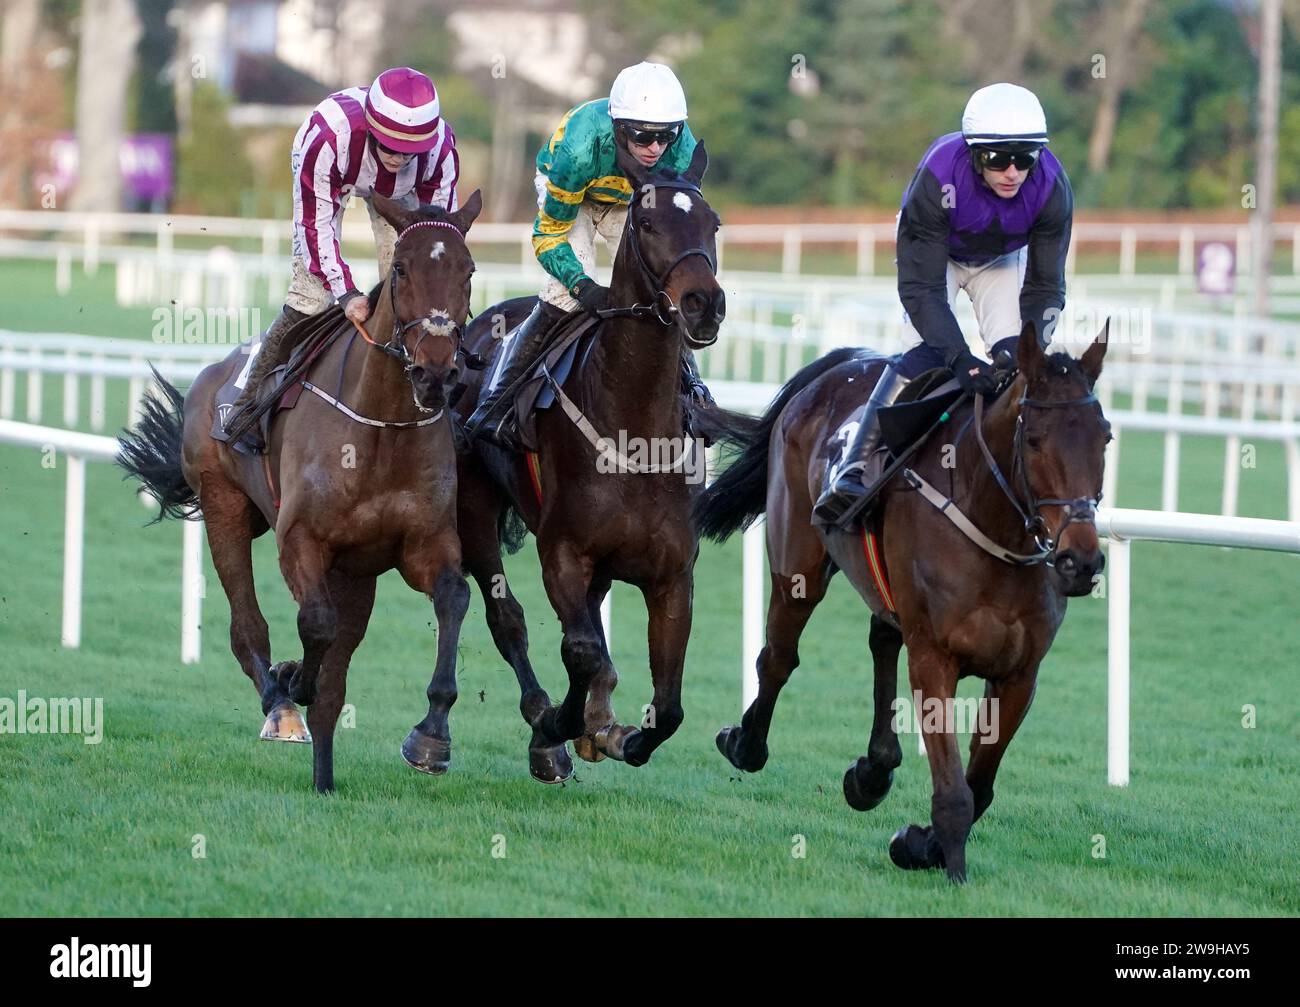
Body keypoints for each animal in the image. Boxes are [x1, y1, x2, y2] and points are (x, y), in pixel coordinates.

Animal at [116, 193, 480, 790]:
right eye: (402, 270)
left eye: (468, 271)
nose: (434, 374)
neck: (381, 425)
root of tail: (210, 376)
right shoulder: (301, 539)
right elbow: (315, 624)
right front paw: (292, 680)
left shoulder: (425, 543)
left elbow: (453, 597)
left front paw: (432, 736)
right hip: (223, 506)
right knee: (247, 627)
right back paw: (280, 704)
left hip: (356, 573)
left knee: (335, 679)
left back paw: (324, 779)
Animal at [452, 139, 728, 779]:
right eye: (647, 224)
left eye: (713, 223)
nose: (704, 304)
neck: (633, 427)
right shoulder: (563, 552)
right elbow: (579, 649)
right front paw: (562, 723)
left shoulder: (673, 574)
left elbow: (668, 704)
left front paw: (616, 734)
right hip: (474, 509)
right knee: (508, 620)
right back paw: (542, 727)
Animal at [696, 324, 1112, 883]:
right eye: (1034, 440)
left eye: (1104, 436)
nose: (1080, 561)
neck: (994, 525)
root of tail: (841, 364)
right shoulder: (935, 657)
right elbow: (956, 791)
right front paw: (949, 866)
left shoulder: (1020, 674)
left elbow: (981, 784)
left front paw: (922, 843)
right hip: (797, 562)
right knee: (779, 656)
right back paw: (746, 744)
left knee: (881, 640)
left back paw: (872, 771)